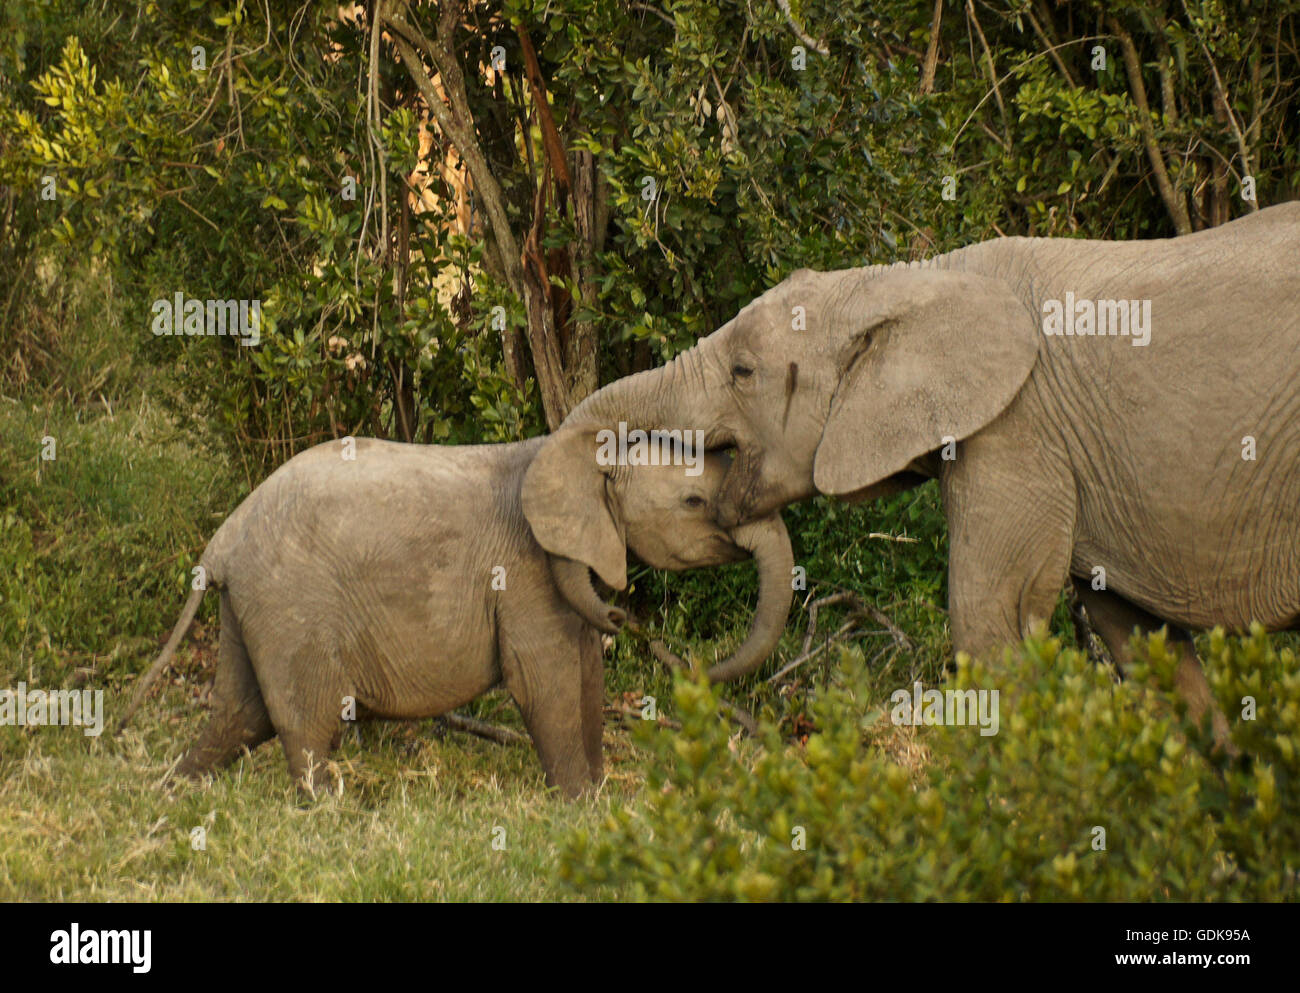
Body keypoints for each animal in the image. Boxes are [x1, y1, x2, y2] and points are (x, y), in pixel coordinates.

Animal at [118, 435, 792, 797]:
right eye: (695, 501)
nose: (629, 622)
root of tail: (223, 539)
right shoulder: (525, 570)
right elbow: (542, 679)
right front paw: (579, 805)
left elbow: (585, 674)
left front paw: (600, 796)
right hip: (289, 603)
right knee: (304, 717)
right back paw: (328, 808)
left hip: (252, 604)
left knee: (239, 712)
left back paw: (177, 787)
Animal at [527, 202, 1300, 736]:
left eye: (743, 371)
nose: (628, 625)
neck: (909, 281)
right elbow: (1138, 633)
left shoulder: (1016, 429)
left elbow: (989, 619)